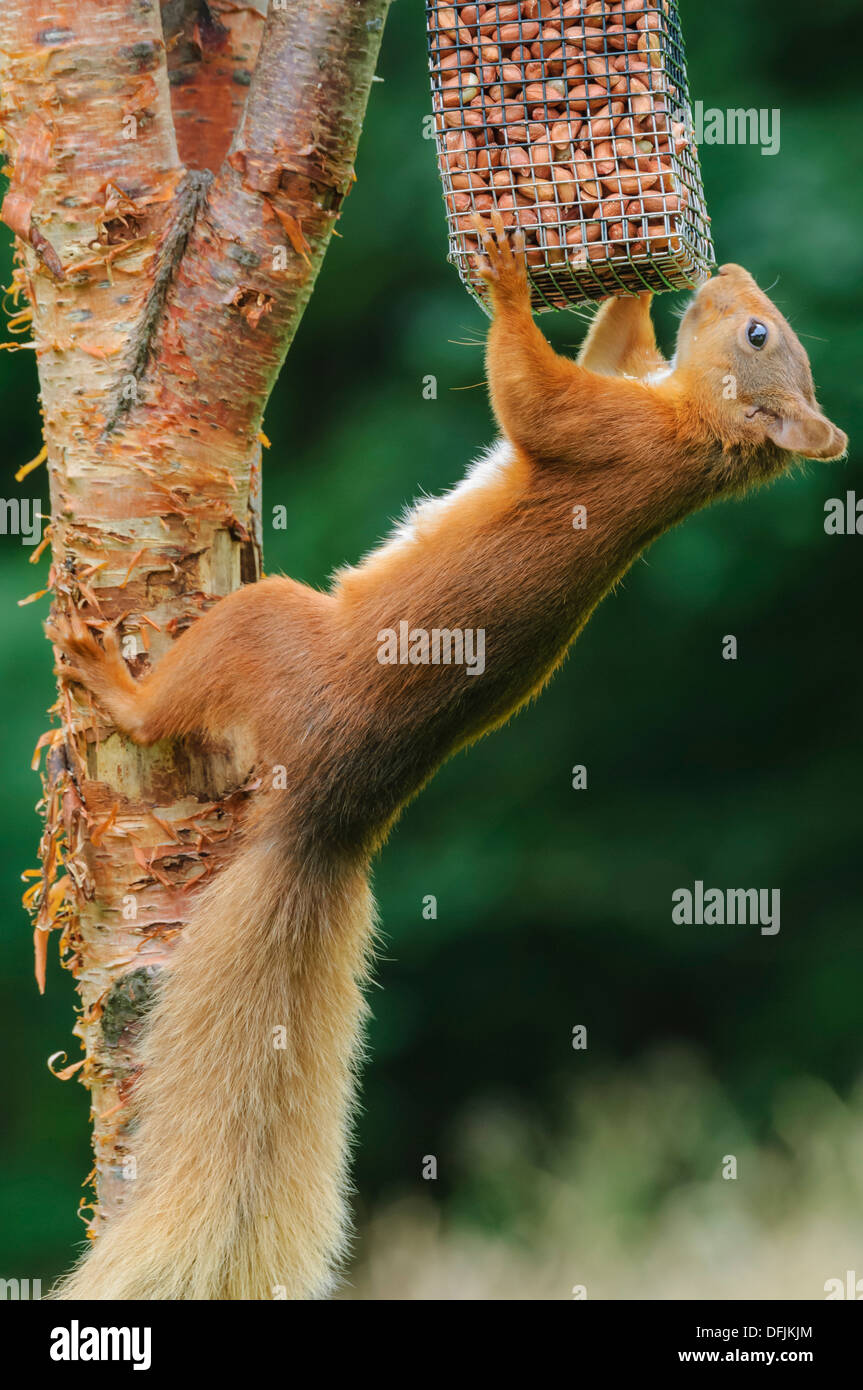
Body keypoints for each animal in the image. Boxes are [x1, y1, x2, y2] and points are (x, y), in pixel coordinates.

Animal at [47, 216, 846, 1299]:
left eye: (758, 334)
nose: (721, 272)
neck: (696, 435)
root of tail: (333, 814)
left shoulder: (605, 436)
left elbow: (532, 397)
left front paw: (510, 279)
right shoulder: (626, 400)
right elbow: (607, 354)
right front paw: (618, 282)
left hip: (267, 634)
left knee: (175, 692)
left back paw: (110, 682)